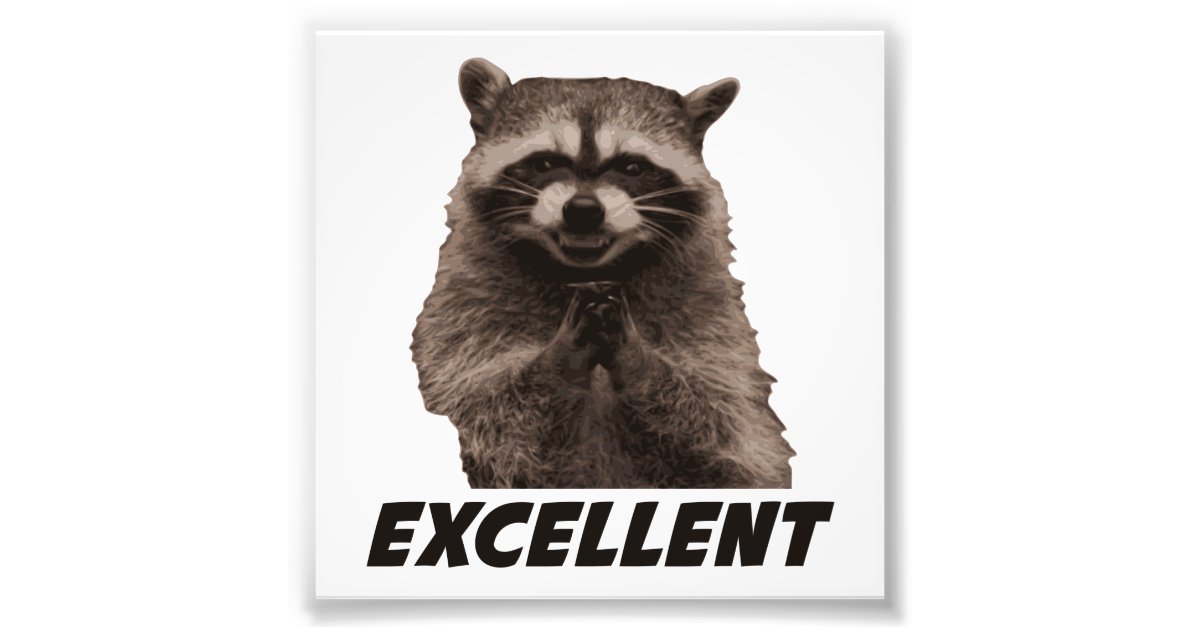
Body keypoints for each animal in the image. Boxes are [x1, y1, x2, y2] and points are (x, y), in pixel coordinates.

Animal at [412, 58, 795, 488]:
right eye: (545, 162)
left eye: (632, 166)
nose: (583, 210)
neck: (579, 273)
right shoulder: (463, 311)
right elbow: (487, 419)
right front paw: (559, 361)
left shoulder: (712, 318)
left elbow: (732, 439)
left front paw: (639, 358)